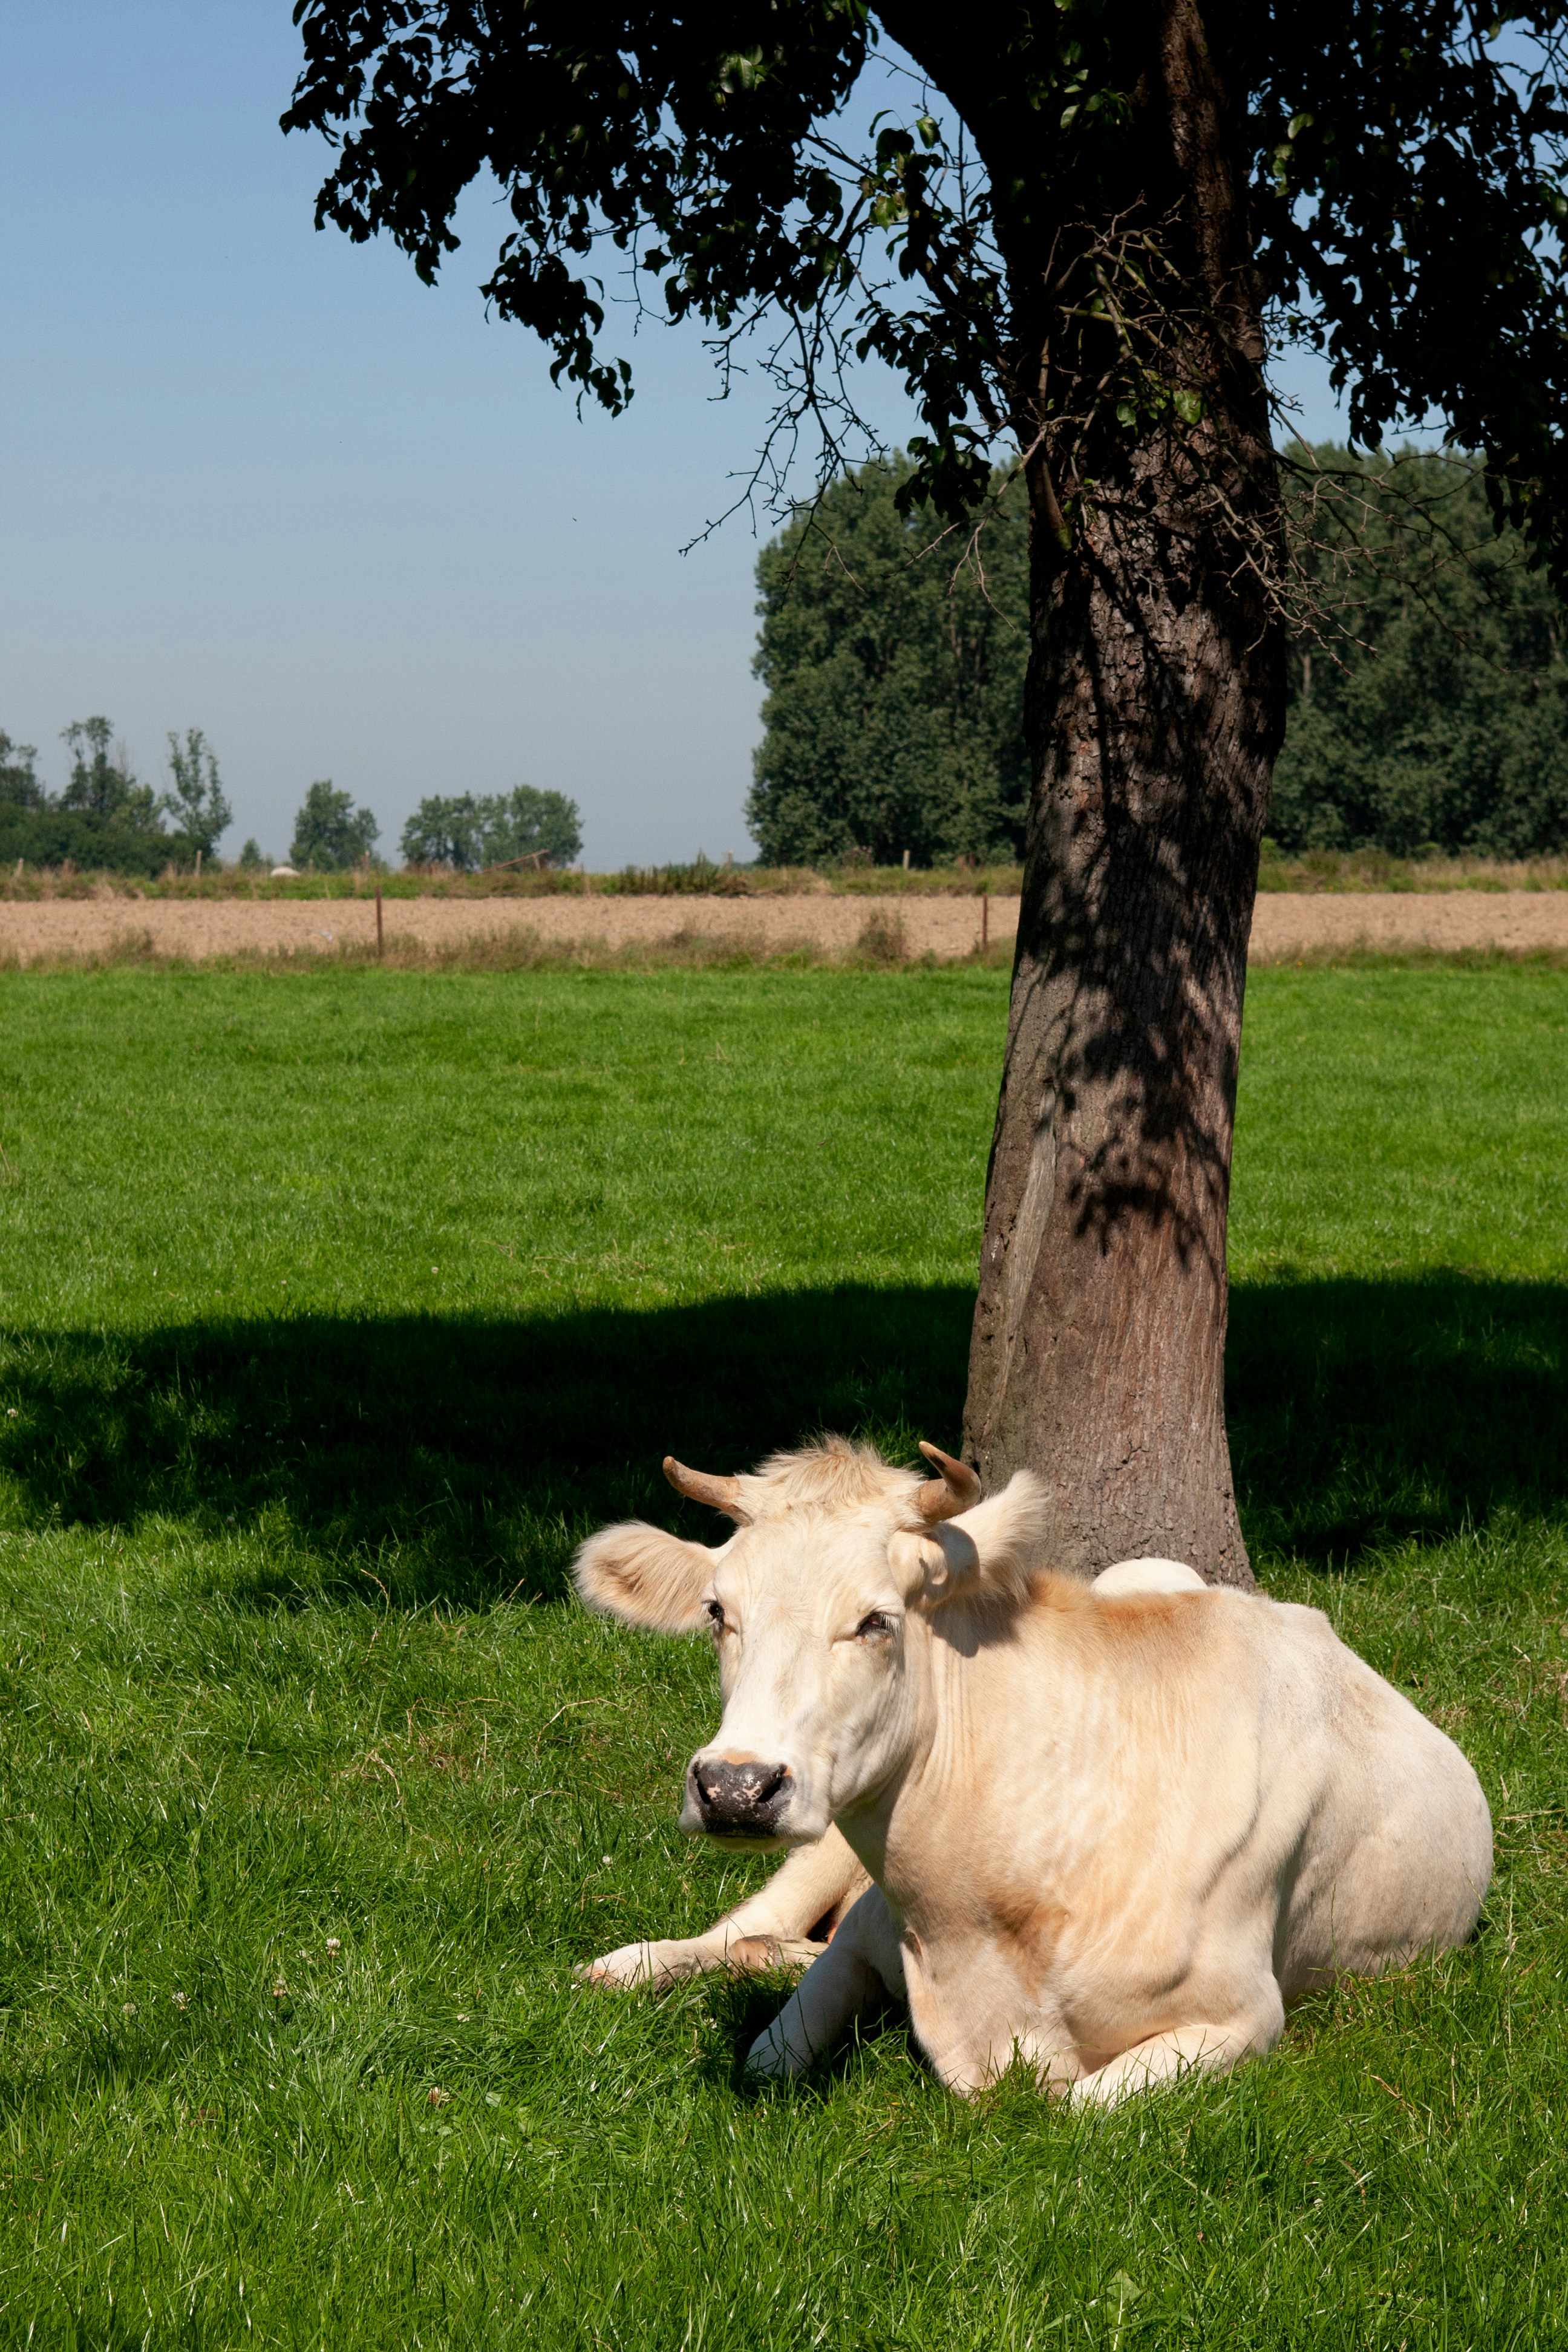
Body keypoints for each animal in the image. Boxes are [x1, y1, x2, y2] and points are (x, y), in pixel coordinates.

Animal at [574, 1438, 1492, 2102]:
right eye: (717, 1611)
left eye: (876, 1620)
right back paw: (631, 1964)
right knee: (741, 1928)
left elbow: (1075, 2107)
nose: (735, 1787)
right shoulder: (869, 1925)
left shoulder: (1241, 2017)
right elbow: (768, 2053)